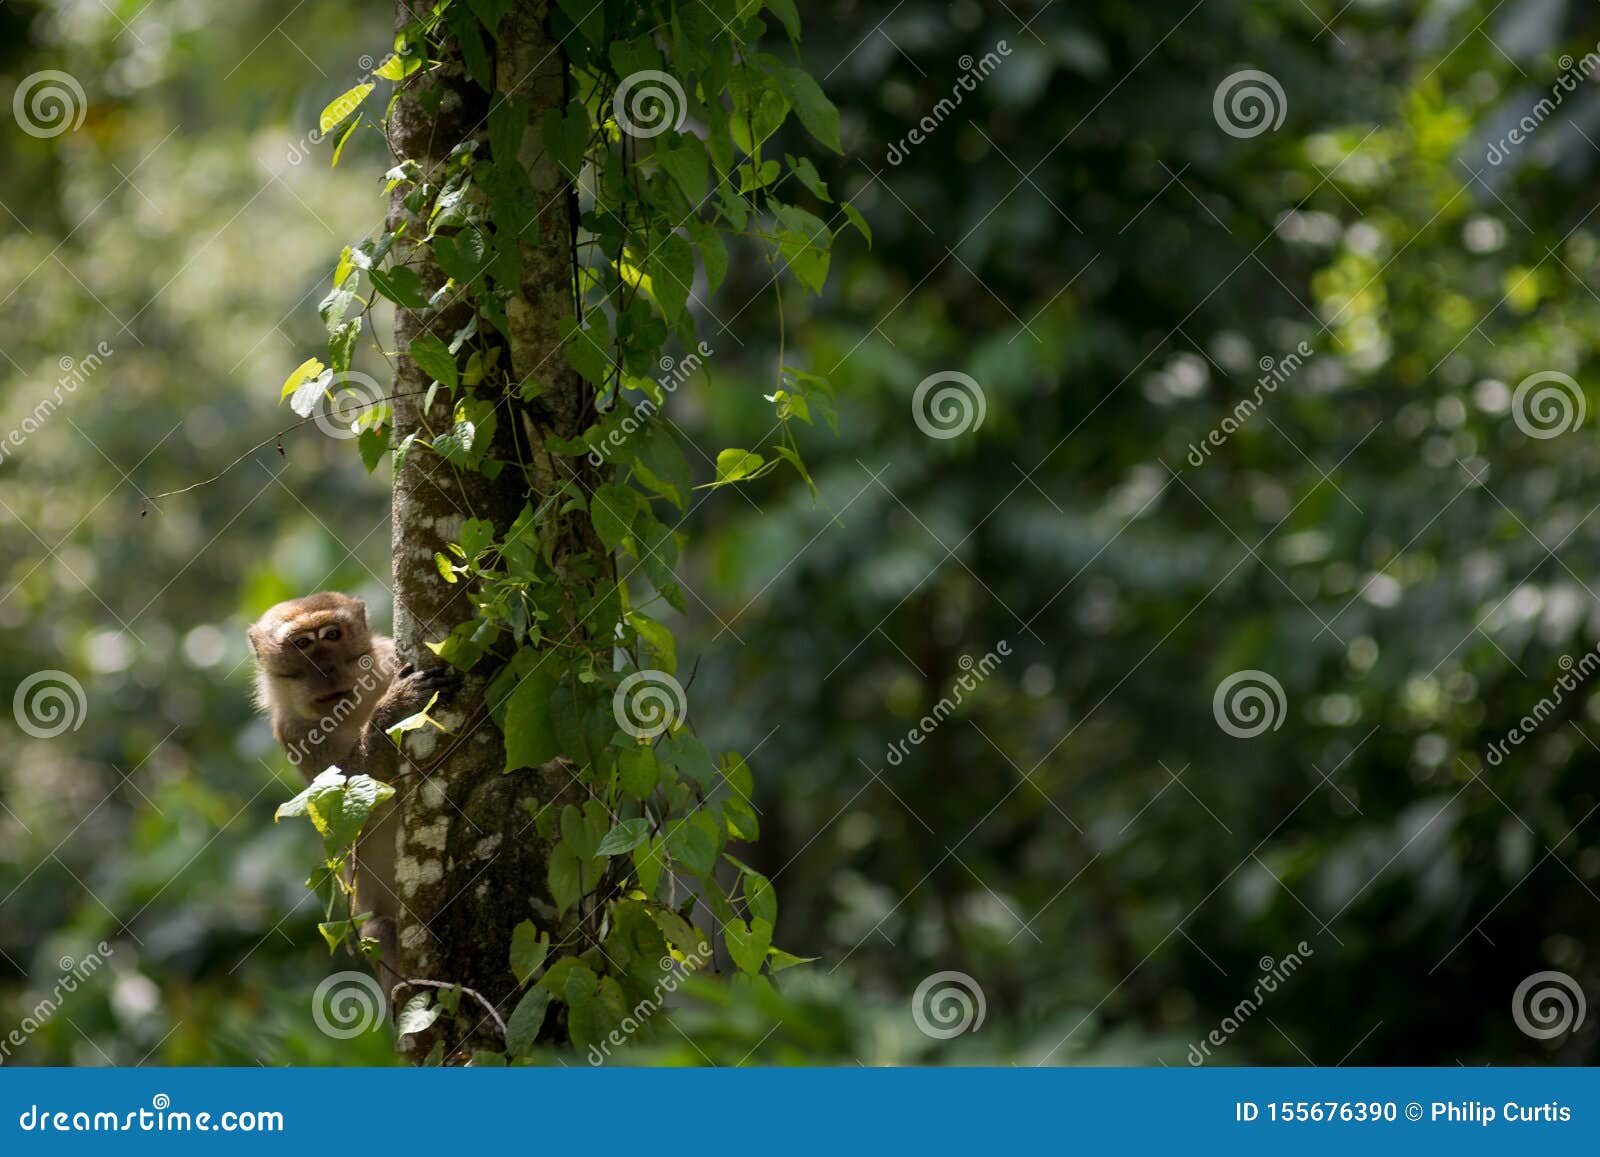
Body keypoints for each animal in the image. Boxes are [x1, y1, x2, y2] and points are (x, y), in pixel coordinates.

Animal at [248, 591, 456, 981]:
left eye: (332, 635)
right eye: (301, 644)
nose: (325, 670)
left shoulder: (388, 658)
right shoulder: (293, 731)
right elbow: (348, 796)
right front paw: (394, 707)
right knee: (380, 930)